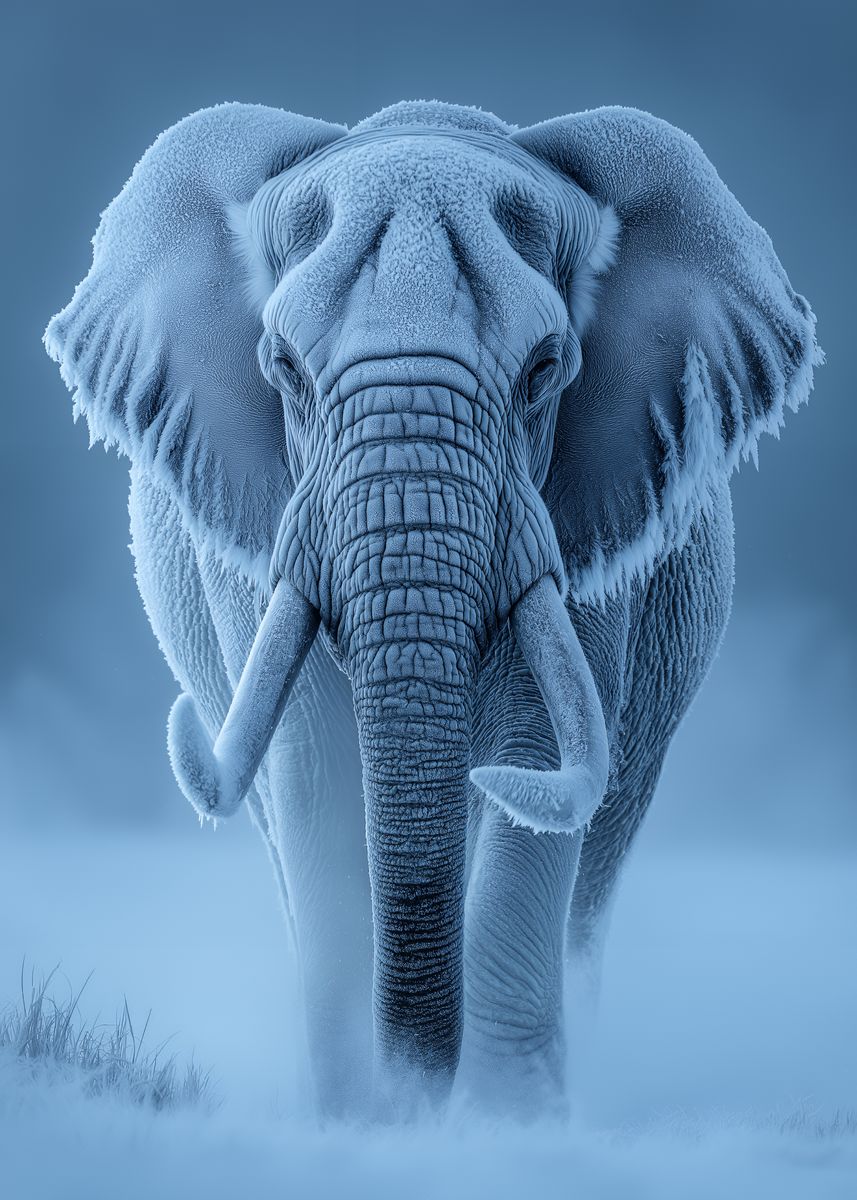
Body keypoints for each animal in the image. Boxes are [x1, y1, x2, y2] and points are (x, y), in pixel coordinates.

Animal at [44, 99, 821, 1119]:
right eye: (282, 369)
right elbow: (314, 771)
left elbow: (534, 754)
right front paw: (363, 1122)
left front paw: (506, 1124)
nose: (415, 1085)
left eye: (544, 370)